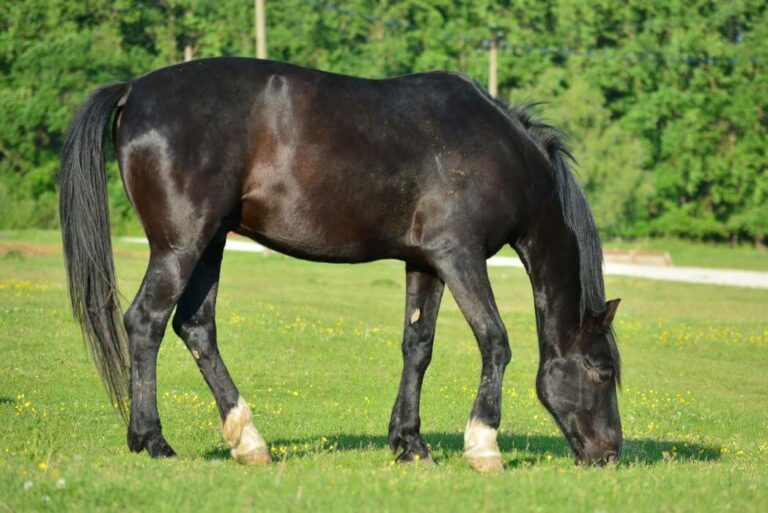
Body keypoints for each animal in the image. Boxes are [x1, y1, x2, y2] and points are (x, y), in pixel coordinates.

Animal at [59, 57, 622, 471]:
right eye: (602, 370)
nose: (611, 454)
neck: (497, 151)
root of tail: (134, 89)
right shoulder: (459, 256)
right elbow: (495, 341)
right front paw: (483, 445)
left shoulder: (425, 262)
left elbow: (418, 347)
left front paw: (409, 443)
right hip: (181, 245)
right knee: (146, 322)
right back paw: (152, 440)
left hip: (212, 242)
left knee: (196, 327)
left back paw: (249, 442)